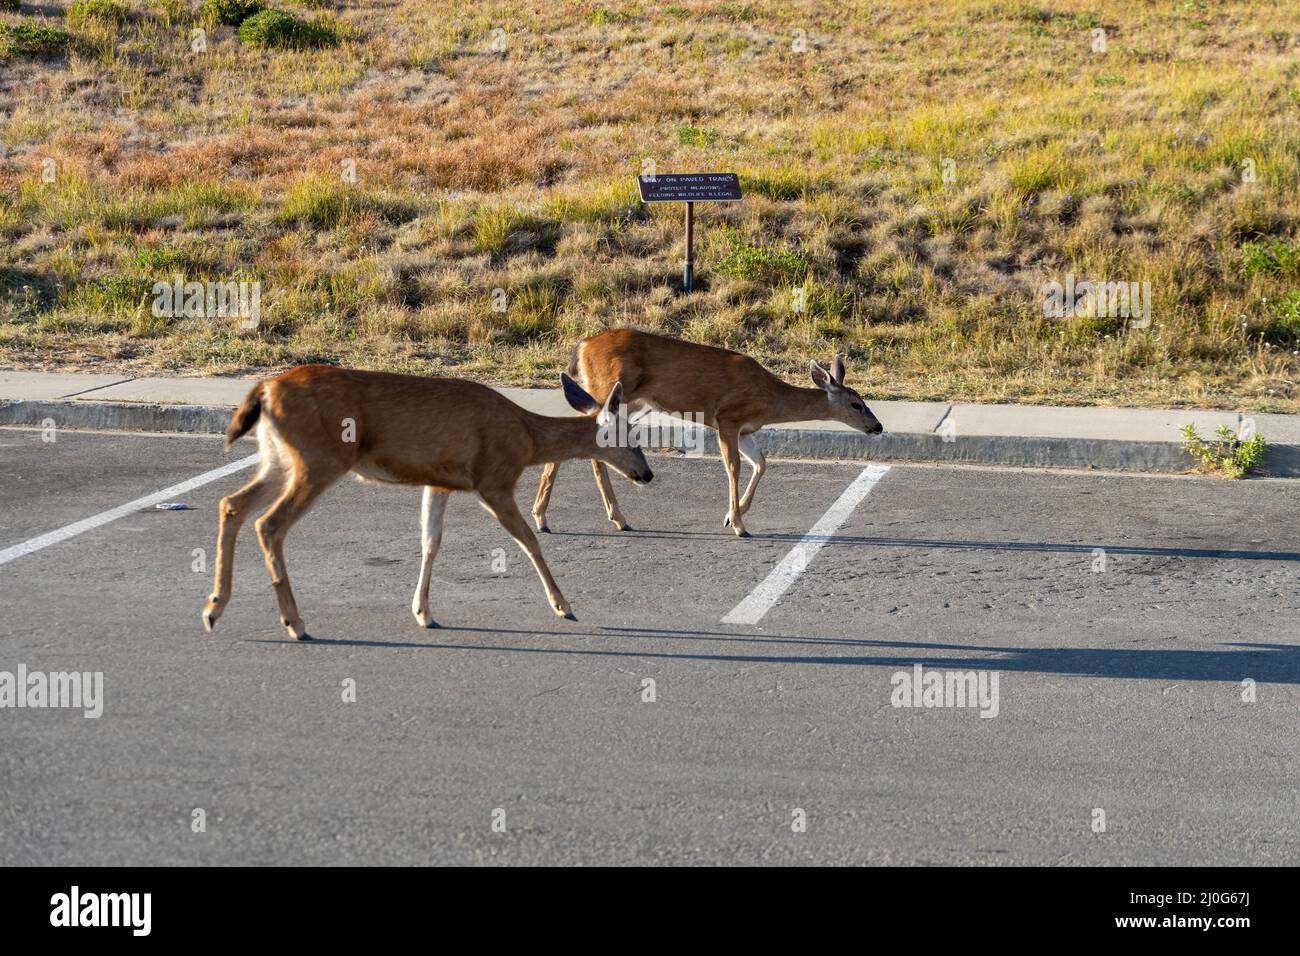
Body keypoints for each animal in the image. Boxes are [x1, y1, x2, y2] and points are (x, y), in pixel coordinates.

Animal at [201, 365, 652, 641]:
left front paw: (423, 611)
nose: (647, 474)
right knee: (269, 523)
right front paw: (564, 606)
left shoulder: (439, 482)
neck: (526, 439)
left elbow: (429, 543)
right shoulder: (494, 480)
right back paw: (294, 622)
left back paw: (213, 609)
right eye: (632, 436)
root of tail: (264, 389)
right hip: (318, 458)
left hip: (278, 456)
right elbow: (529, 541)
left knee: (231, 504)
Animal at [532, 329, 883, 538]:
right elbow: (734, 467)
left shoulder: (746, 429)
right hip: (609, 389)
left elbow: (761, 463)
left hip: (628, 401)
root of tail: (582, 346)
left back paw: (579, 517)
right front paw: (739, 524)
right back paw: (565, 516)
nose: (878, 426)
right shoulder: (727, 418)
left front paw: (734, 514)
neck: (769, 398)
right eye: (856, 404)